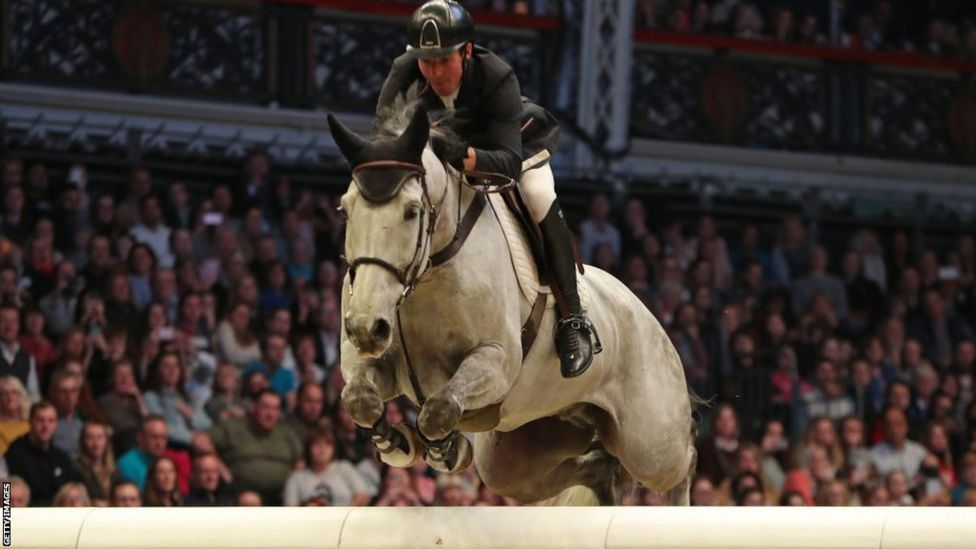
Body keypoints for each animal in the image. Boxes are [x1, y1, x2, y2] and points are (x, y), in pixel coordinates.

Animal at [328, 106, 697, 505]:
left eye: (411, 212)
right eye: (345, 210)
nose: (366, 327)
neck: (428, 274)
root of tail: (652, 319)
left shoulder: (497, 360)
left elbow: (439, 408)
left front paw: (445, 450)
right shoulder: (375, 360)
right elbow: (360, 398)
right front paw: (398, 444)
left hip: (651, 441)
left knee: (680, 462)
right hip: (526, 449)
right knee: (594, 468)